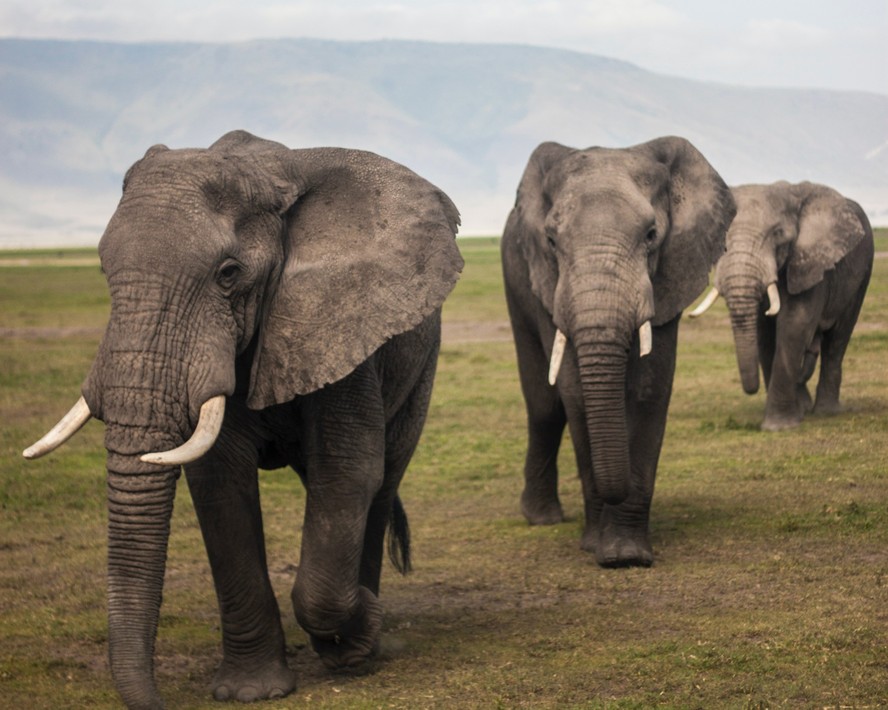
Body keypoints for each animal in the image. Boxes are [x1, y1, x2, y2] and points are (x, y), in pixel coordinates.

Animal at [23, 130, 463, 709]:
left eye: (229, 275)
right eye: (101, 269)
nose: (158, 700)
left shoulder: (339, 323)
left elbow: (348, 472)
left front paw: (360, 631)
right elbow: (219, 483)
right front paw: (250, 691)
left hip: (423, 362)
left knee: (383, 480)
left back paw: (361, 645)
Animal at [501, 136, 735, 567]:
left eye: (651, 234)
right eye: (551, 241)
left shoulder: (669, 275)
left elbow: (648, 389)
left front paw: (626, 555)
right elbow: (575, 393)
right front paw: (598, 547)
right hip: (515, 277)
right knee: (544, 406)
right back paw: (542, 518)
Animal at [688, 181, 873, 431]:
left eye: (778, 234)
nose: (751, 389)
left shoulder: (810, 262)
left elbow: (795, 324)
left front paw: (778, 427)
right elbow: (764, 334)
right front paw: (792, 416)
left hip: (862, 274)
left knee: (838, 339)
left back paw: (826, 411)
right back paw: (804, 407)